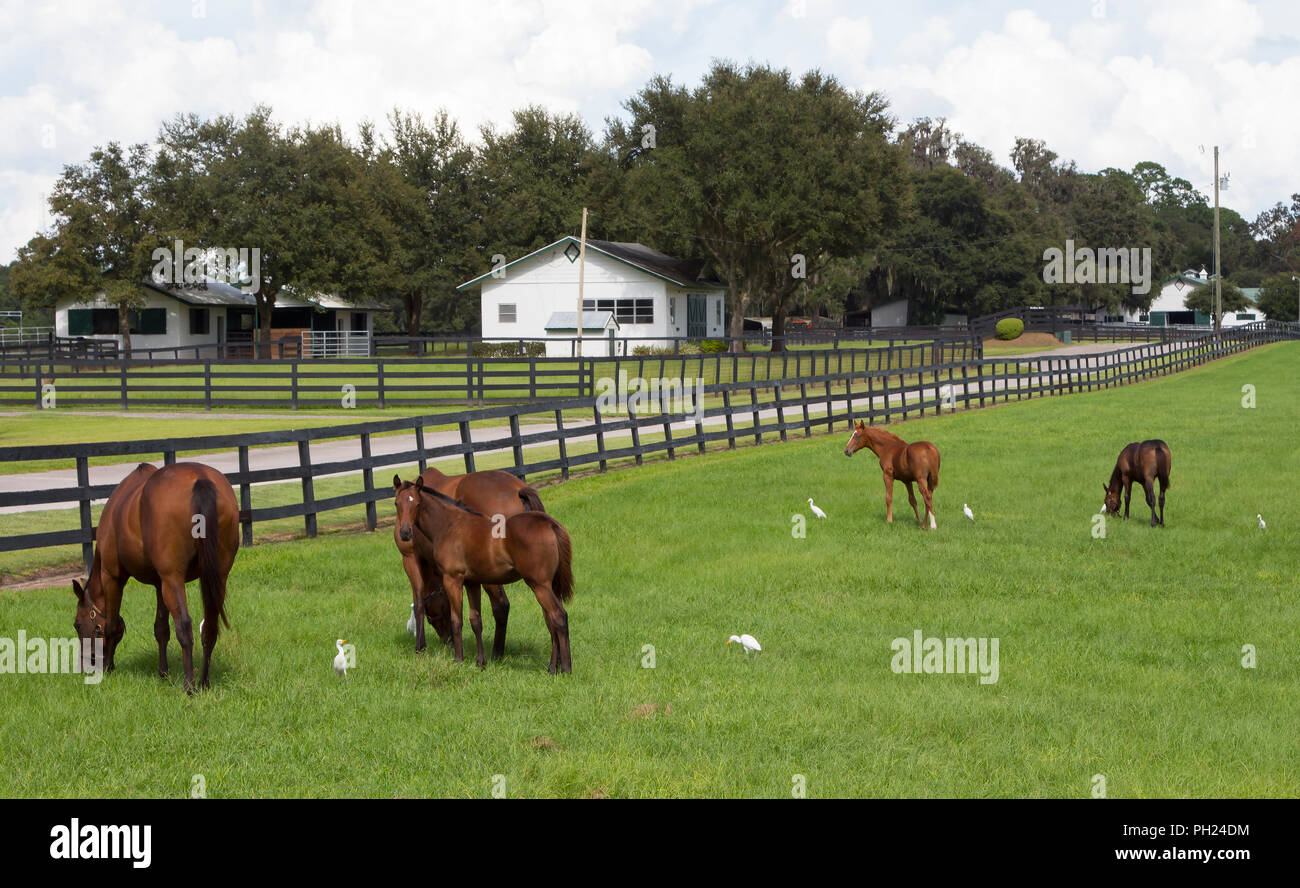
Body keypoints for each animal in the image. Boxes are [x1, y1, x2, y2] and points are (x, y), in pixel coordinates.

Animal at [72, 462, 239, 693]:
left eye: (77, 625)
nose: (83, 664)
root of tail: (200, 478)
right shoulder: (160, 585)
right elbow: (161, 628)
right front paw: (163, 673)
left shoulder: (113, 577)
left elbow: (112, 626)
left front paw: (108, 667)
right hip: (216, 578)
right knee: (209, 628)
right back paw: (203, 683)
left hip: (173, 579)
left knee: (185, 626)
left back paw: (189, 686)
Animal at [398, 475, 574, 673]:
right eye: (397, 503)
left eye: (417, 503)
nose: (405, 532)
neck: (451, 525)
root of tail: (549, 524)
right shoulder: (472, 583)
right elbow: (476, 620)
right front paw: (480, 662)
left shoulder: (452, 580)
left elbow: (457, 620)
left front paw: (458, 659)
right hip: (548, 585)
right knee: (550, 619)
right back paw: (553, 666)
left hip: (539, 585)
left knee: (558, 616)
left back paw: (565, 668)